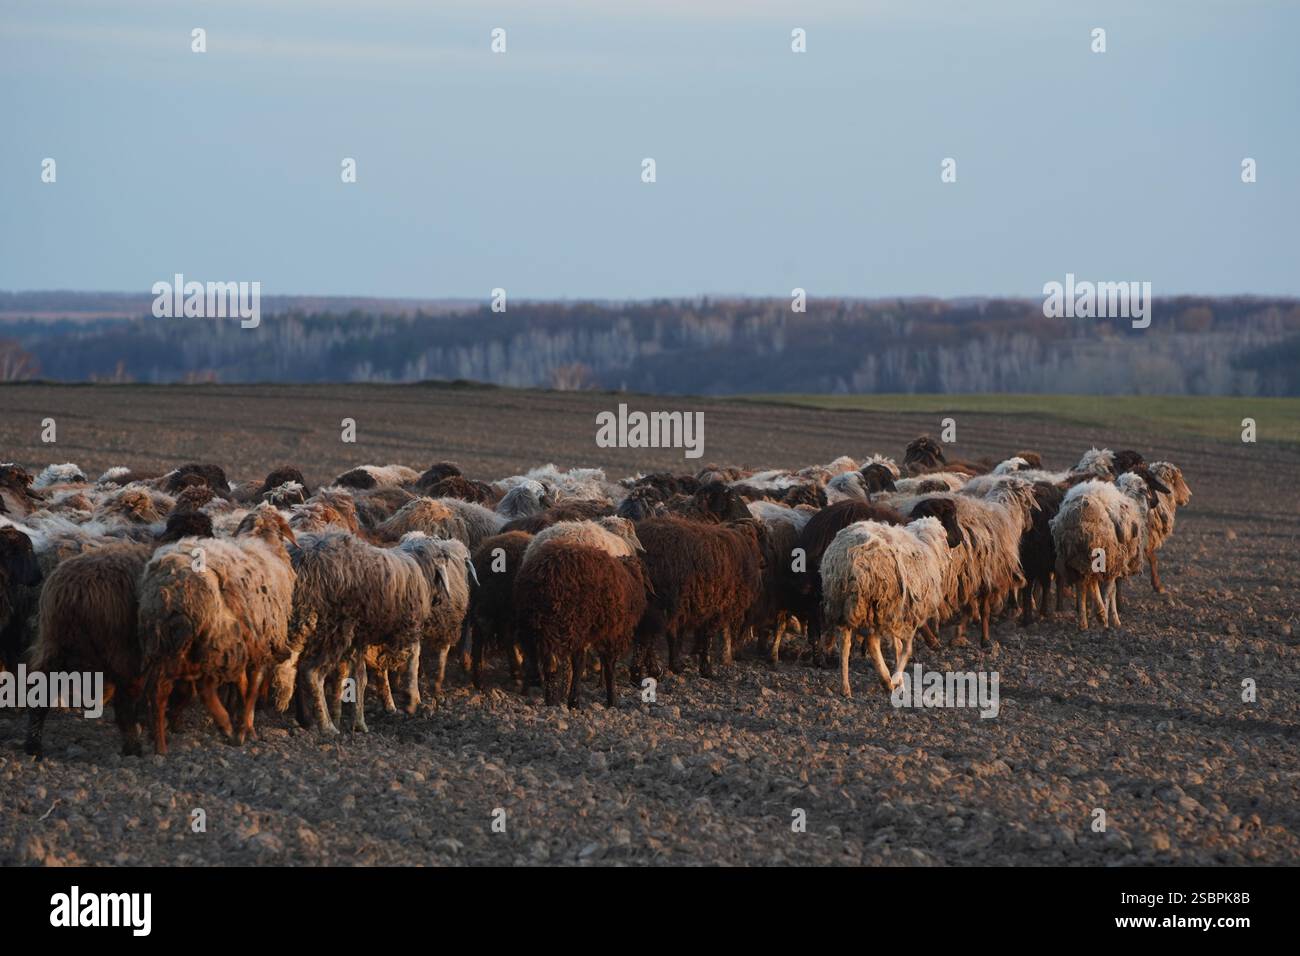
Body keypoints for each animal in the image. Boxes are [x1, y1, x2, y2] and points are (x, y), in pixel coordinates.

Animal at [24, 542, 152, 758]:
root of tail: (76, 591)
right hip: (120, 649)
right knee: (125, 700)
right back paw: (133, 747)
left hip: (54, 640)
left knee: (43, 687)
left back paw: (33, 744)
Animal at [138, 505, 297, 753]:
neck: (263, 541)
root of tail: (169, 586)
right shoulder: (260, 644)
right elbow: (252, 689)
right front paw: (246, 728)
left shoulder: (245, 643)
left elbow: (242, 686)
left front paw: (243, 722)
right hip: (215, 637)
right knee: (204, 687)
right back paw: (226, 727)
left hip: (162, 640)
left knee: (159, 690)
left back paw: (160, 746)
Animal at [513, 541, 650, 708]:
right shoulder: (612, 634)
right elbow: (607, 665)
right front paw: (612, 700)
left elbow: (580, 662)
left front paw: (574, 700)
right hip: (566, 623)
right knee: (552, 663)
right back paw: (554, 699)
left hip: (535, 626)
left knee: (542, 661)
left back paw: (546, 695)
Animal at [820, 512, 960, 696]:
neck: (927, 544)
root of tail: (847, 560)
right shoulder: (909, 613)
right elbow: (906, 649)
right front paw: (898, 680)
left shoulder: (897, 611)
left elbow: (898, 647)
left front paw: (900, 681)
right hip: (876, 602)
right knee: (872, 644)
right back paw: (886, 680)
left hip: (844, 605)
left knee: (845, 645)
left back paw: (846, 687)